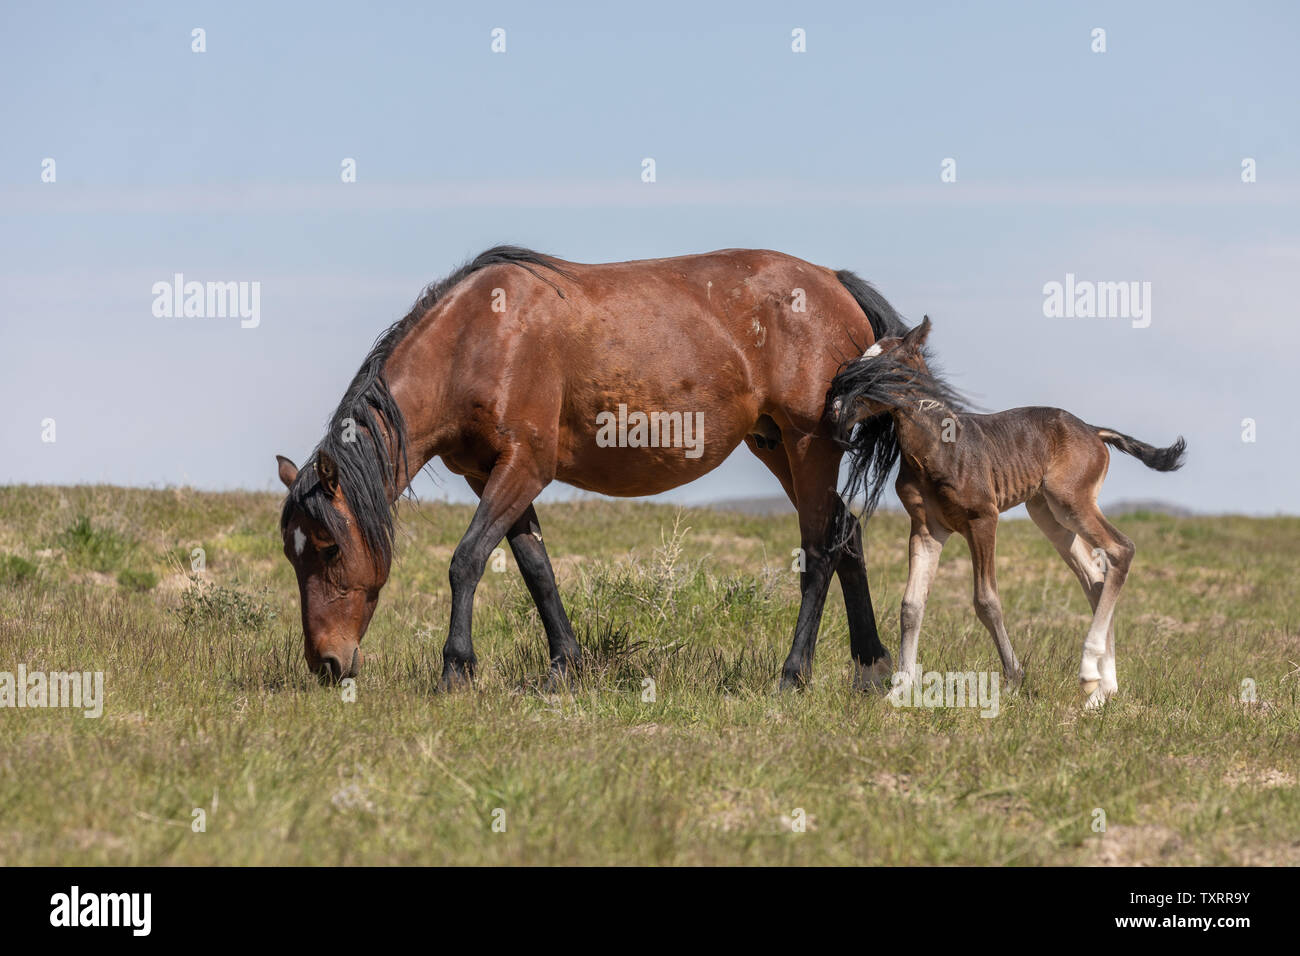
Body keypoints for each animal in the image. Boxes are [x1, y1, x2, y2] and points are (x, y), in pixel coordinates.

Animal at [275, 246, 909, 691]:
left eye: (328, 548)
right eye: (292, 553)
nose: (326, 663)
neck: (478, 339)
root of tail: (834, 282)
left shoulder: (523, 467)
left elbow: (467, 561)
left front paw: (456, 669)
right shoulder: (491, 476)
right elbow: (536, 568)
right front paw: (564, 668)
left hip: (809, 446)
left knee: (821, 551)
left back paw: (793, 674)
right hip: (776, 447)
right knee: (846, 535)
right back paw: (870, 668)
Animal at [827, 317, 1186, 708]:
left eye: (886, 369)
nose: (836, 407)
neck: (937, 447)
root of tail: (1094, 431)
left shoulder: (983, 519)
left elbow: (986, 600)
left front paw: (1014, 679)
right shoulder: (926, 527)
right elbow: (911, 605)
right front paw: (900, 689)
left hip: (1071, 501)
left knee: (1121, 550)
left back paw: (1090, 672)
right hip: (1049, 514)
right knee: (1094, 578)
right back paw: (1101, 690)